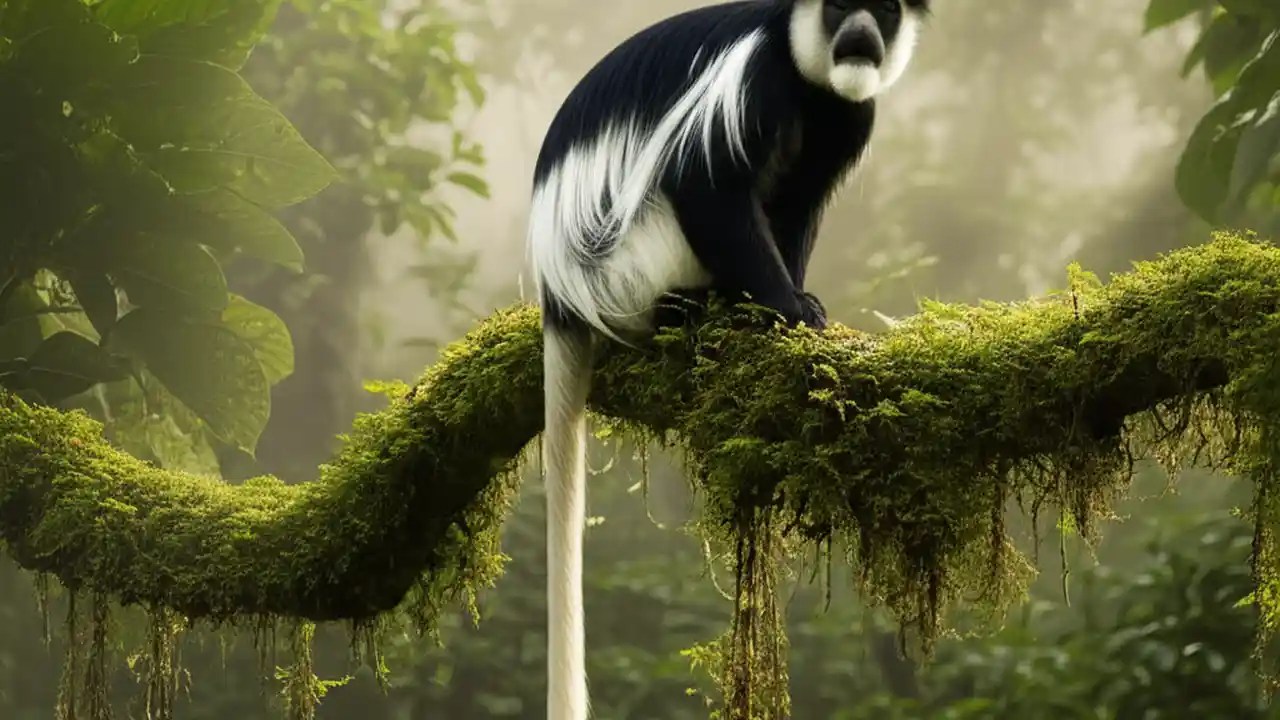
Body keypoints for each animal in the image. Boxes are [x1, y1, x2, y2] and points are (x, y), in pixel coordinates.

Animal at [527, 1, 930, 716]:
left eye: (883, 13)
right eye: (836, 8)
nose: (859, 35)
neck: (805, 79)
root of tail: (559, 295)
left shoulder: (846, 116)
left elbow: (798, 204)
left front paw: (795, 303)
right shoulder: (750, 79)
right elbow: (707, 185)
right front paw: (787, 310)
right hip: (627, 259)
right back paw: (691, 310)